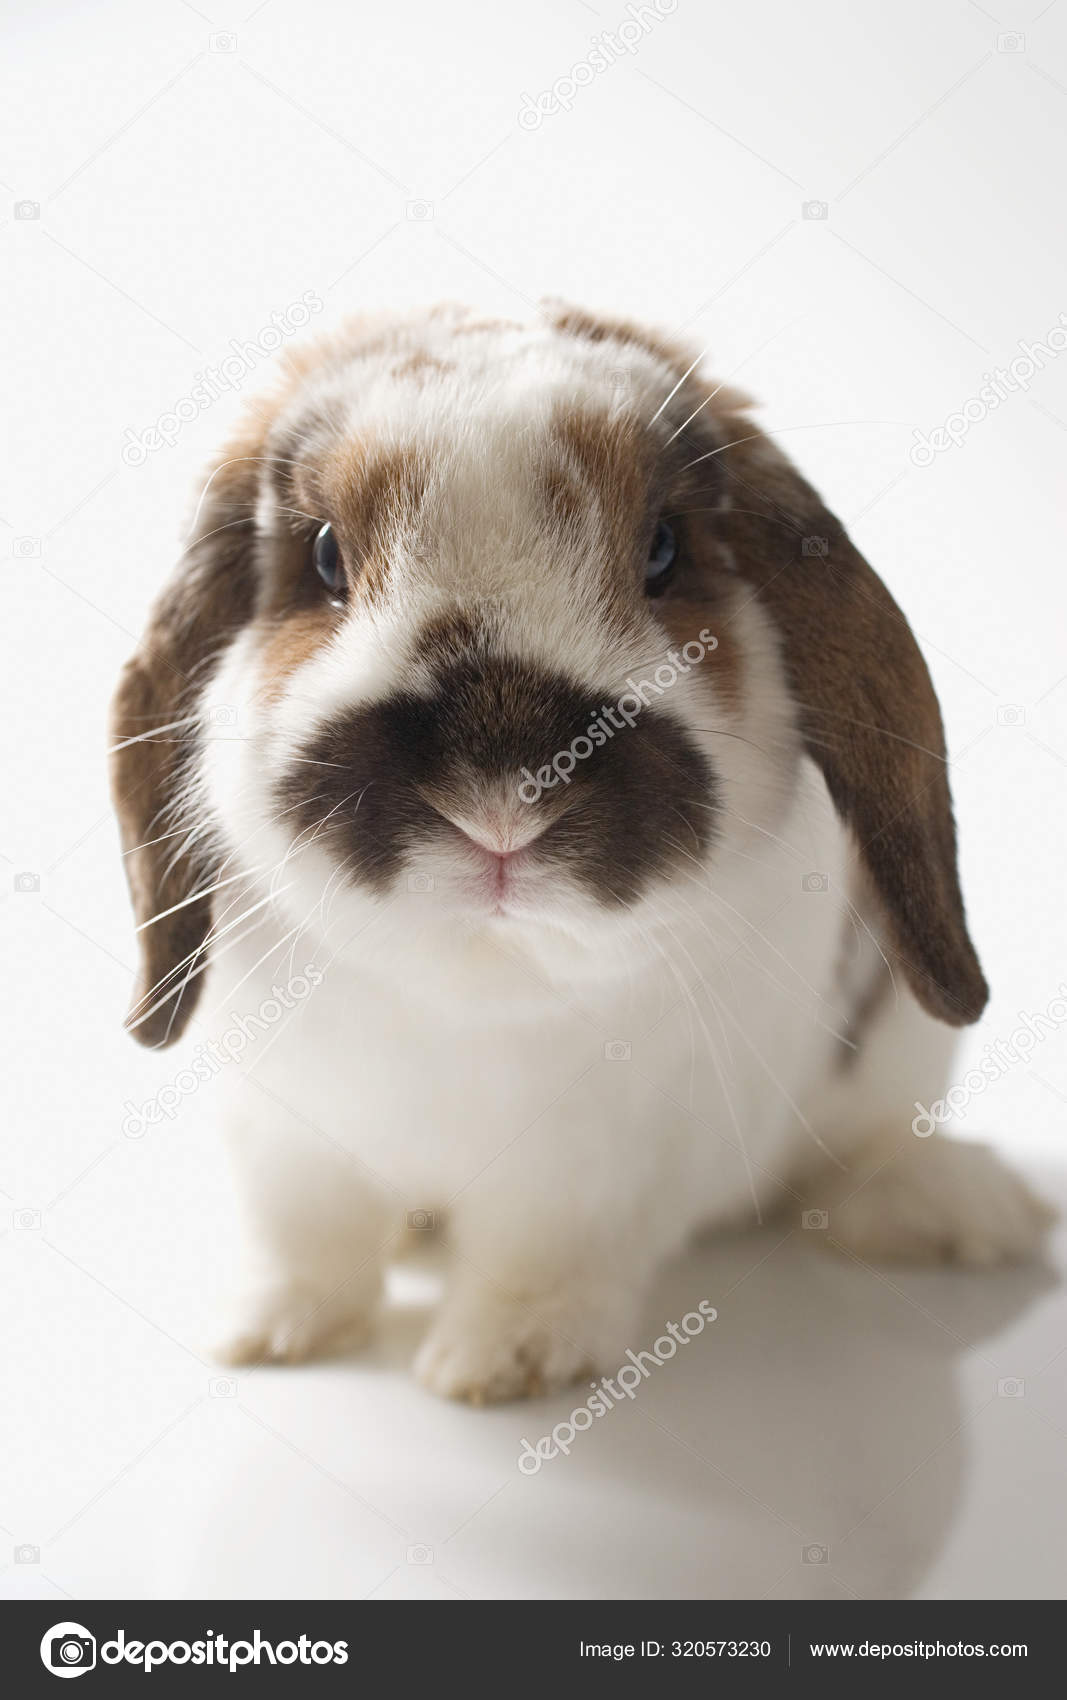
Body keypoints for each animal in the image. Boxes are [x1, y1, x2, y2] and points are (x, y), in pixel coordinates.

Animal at [110, 302, 1052, 1402]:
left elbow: (541, 1255)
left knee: (869, 1147)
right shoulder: (286, 1137)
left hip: (897, 1051)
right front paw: (273, 1335)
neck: (477, 978)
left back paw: (952, 1207)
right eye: (326, 558)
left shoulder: (596, 1166)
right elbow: (305, 1242)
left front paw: (502, 1366)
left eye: (662, 550)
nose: (501, 797)